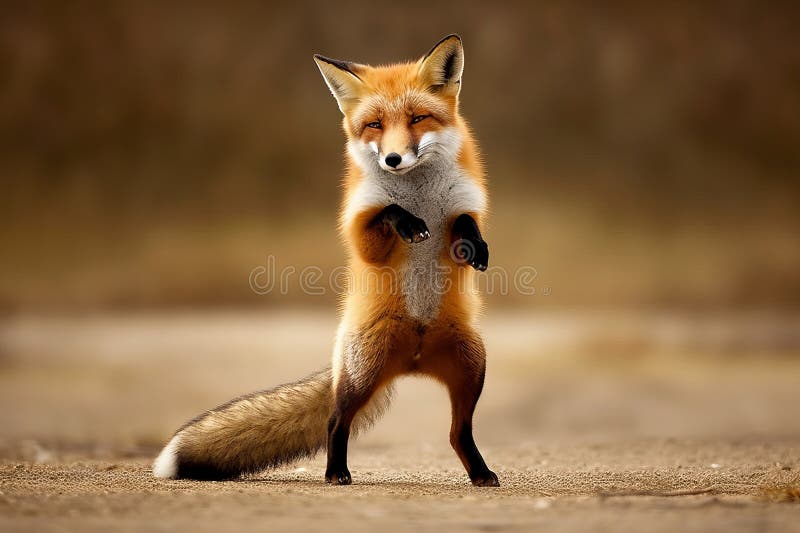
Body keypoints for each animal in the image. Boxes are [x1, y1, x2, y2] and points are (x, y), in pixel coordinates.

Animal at [152, 34, 498, 487]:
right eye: (374, 125)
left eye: (418, 118)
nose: (392, 160)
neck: (419, 193)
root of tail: (413, 362)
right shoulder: (361, 228)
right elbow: (387, 213)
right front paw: (407, 222)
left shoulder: (463, 206)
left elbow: (463, 223)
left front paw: (474, 247)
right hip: (362, 375)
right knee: (336, 421)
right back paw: (336, 473)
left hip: (472, 366)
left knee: (458, 434)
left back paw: (482, 473)